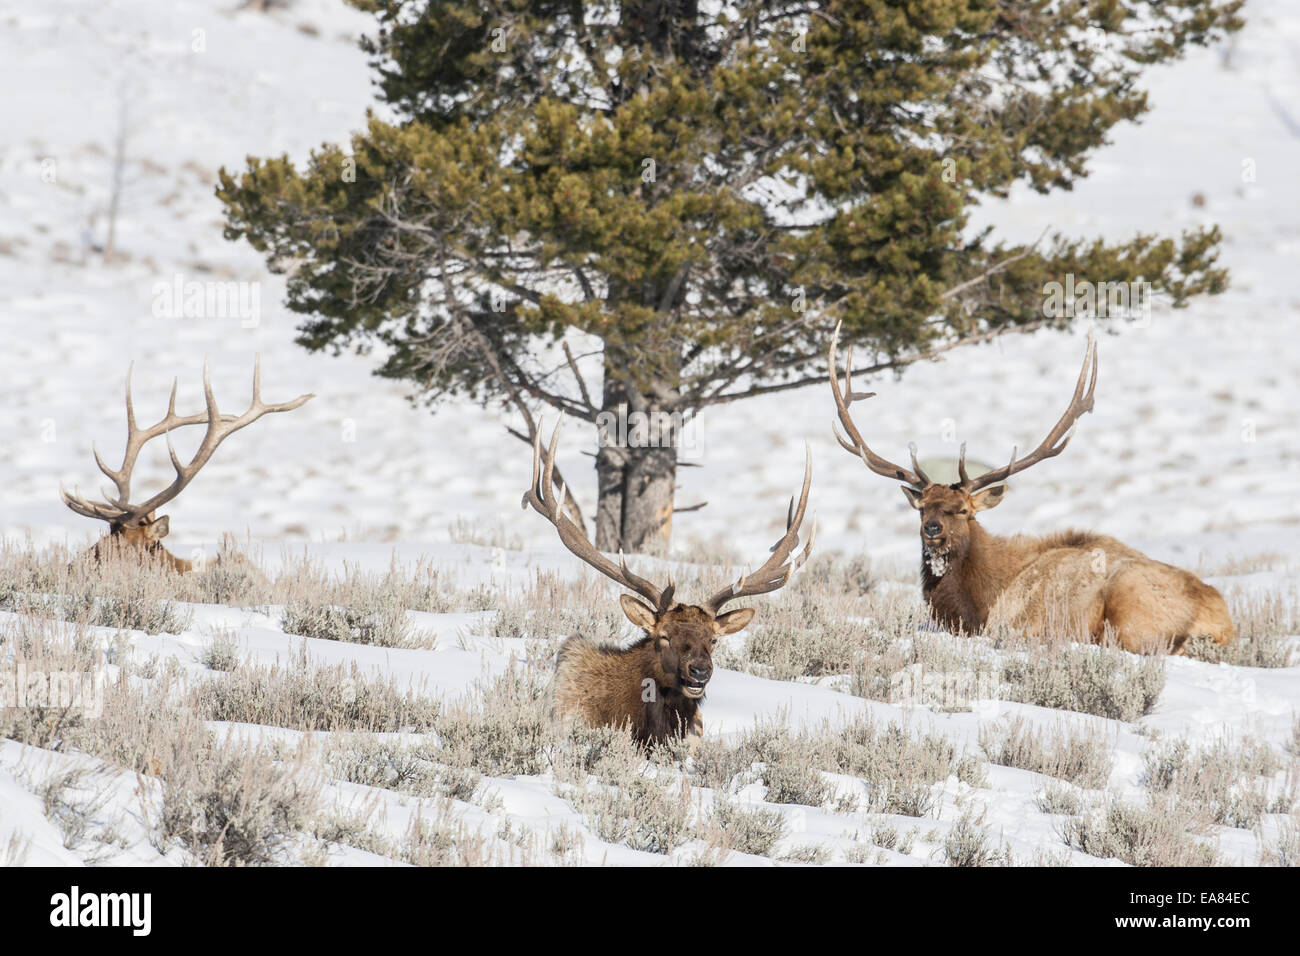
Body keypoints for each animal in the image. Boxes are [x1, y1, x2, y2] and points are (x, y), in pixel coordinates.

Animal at [828, 325, 1234, 653]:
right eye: (922, 507)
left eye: (962, 510)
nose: (932, 529)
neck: (975, 603)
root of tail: (1219, 620)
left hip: (1129, 607)